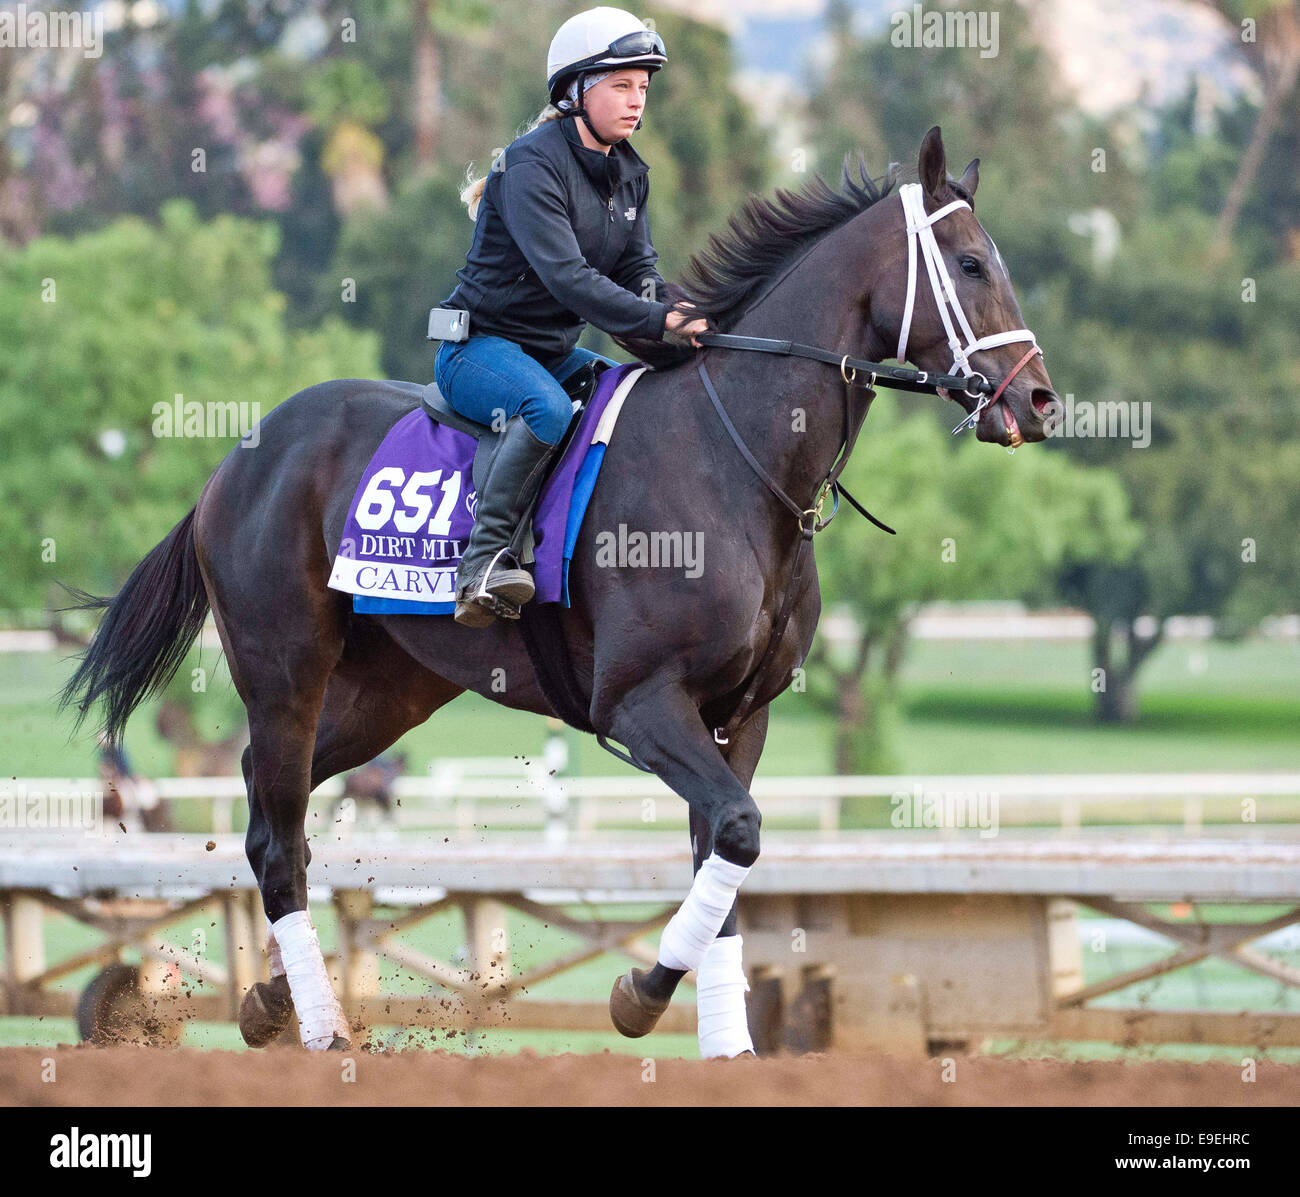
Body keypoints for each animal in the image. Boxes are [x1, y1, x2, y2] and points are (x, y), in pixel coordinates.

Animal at [60, 128, 1058, 1053]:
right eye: (972, 263)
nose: (1039, 401)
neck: (734, 461)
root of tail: (233, 460)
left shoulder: (741, 716)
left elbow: (724, 850)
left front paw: (728, 1044)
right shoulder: (640, 701)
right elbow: (736, 832)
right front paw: (641, 994)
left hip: (391, 691)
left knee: (281, 812)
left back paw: (272, 997)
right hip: (286, 670)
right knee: (274, 830)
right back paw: (322, 1030)